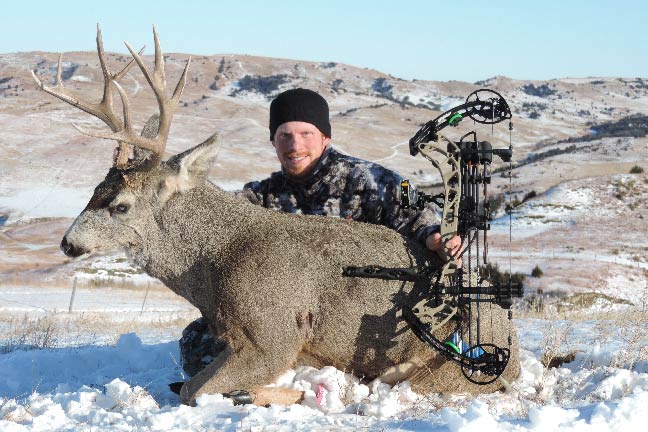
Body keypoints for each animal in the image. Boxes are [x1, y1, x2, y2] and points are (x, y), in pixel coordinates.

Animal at [32, 26, 520, 406]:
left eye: (120, 205)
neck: (216, 261)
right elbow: (189, 383)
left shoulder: (275, 335)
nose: (68, 243)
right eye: (94, 191)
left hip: (453, 365)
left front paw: (296, 391)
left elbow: (193, 390)